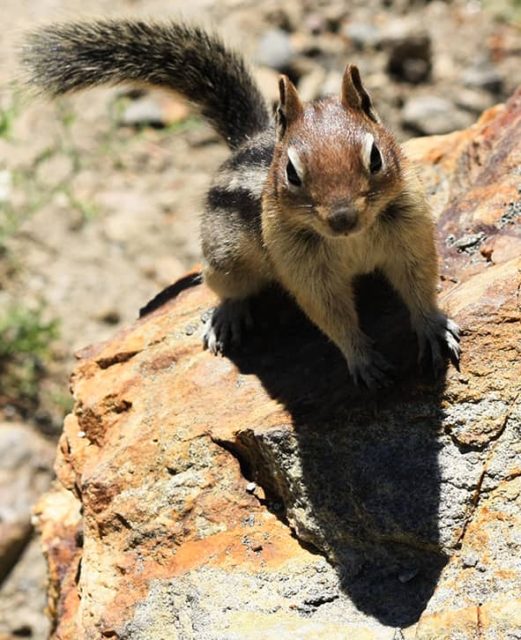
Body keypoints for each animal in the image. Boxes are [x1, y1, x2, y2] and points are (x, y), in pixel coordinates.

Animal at [22, 19, 460, 388]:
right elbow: (330, 314)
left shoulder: (410, 235)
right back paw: (224, 318)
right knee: (225, 288)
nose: (342, 218)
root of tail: (248, 140)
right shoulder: (307, 271)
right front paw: (362, 360)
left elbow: (419, 284)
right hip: (226, 263)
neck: (353, 240)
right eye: (292, 173)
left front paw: (434, 328)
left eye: (375, 158)